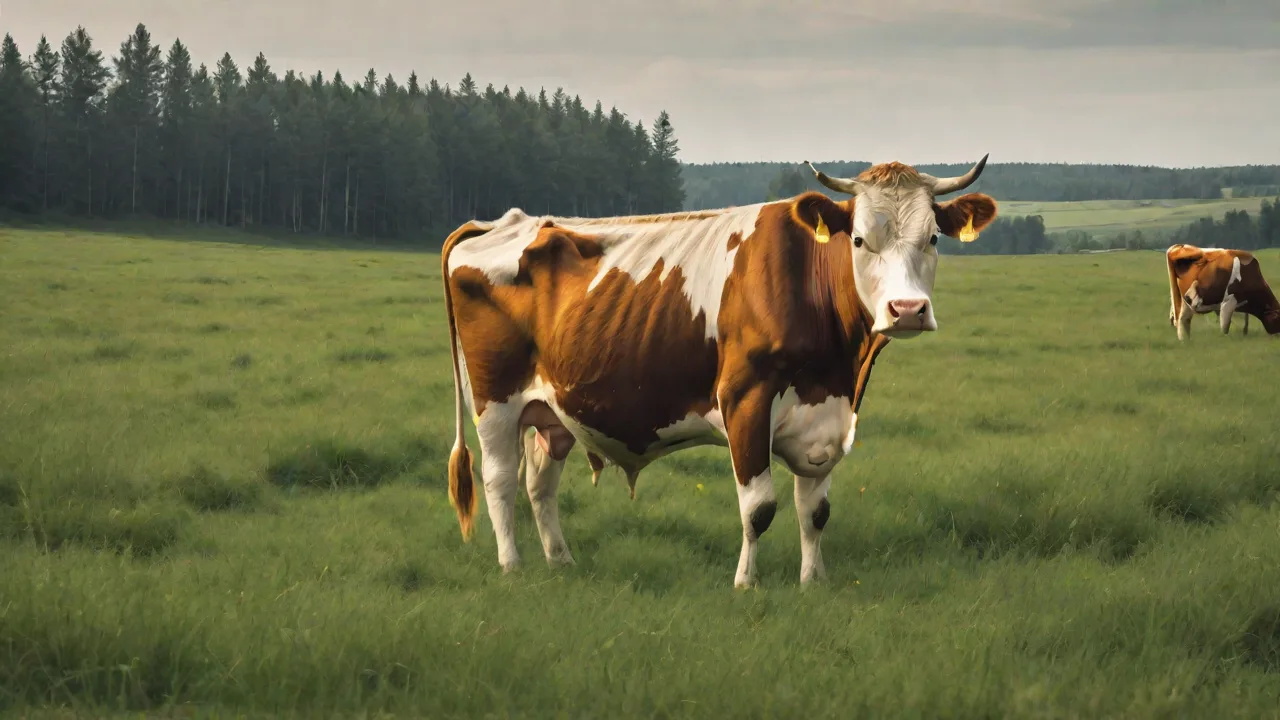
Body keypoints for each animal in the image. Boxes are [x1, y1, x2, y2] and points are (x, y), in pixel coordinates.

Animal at [441, 155, 998, 588]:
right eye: (859, 240)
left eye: (933, 238)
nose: (907, 310)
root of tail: (503, 222)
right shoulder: (744, 398)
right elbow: (759, 507)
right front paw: (746, 583)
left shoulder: (828, 417)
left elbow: (814, 511)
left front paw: (813, 582)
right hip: (494, 398)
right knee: (499, 479)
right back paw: (512, 567)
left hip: (551, 406)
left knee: (540, 481)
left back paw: (561, 562)